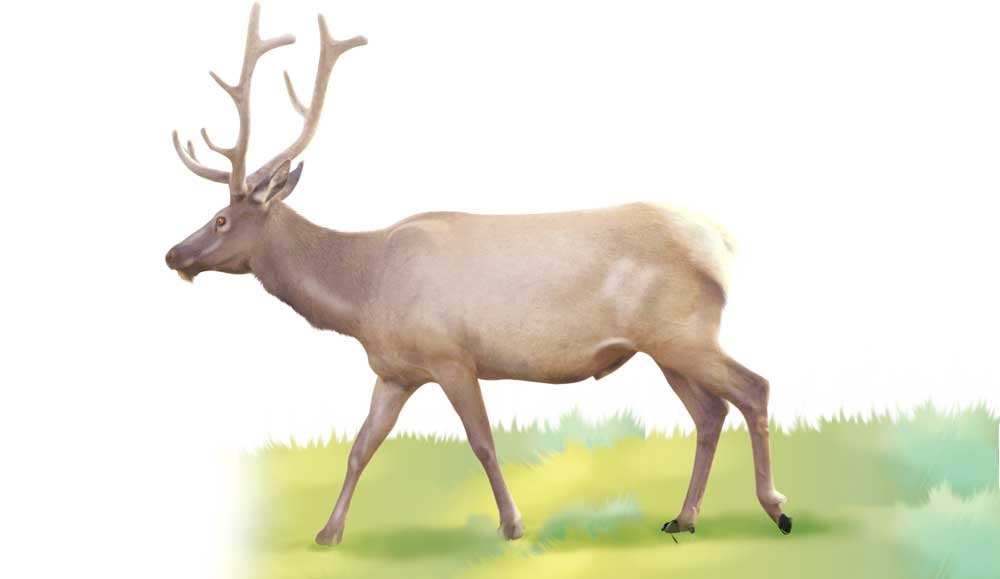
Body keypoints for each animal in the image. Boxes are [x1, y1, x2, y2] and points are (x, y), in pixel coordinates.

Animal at [165, 3, 792, 546]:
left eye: (220, 218)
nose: (174, 254)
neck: (363, 296)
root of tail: (724, 243)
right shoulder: (394, 371)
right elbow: (360, 447)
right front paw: (328, 533)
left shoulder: (452, 356)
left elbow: (483, 442)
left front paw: (512, 525)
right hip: (664, 347)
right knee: (709, 413)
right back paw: (685, 517)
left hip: (684, 332)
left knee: (753, 388)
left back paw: (775, 507)